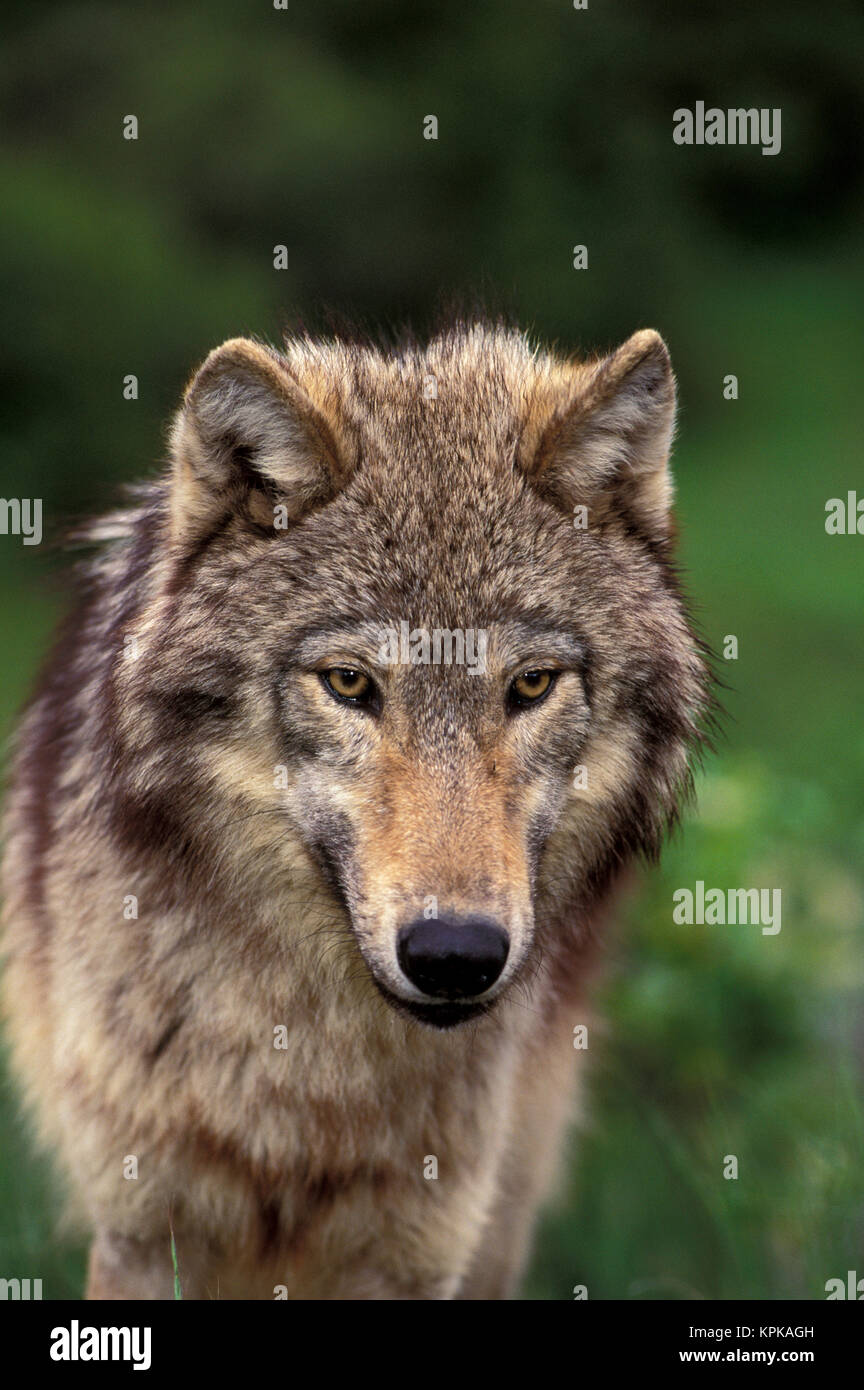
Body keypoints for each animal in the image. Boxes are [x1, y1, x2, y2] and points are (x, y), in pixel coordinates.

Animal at [1, 322, 711, 1299]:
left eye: (531, 685)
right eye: (348, 683)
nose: (456, 956)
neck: (312, 1074)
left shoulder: (418, 1249)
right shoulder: (142, 1226)